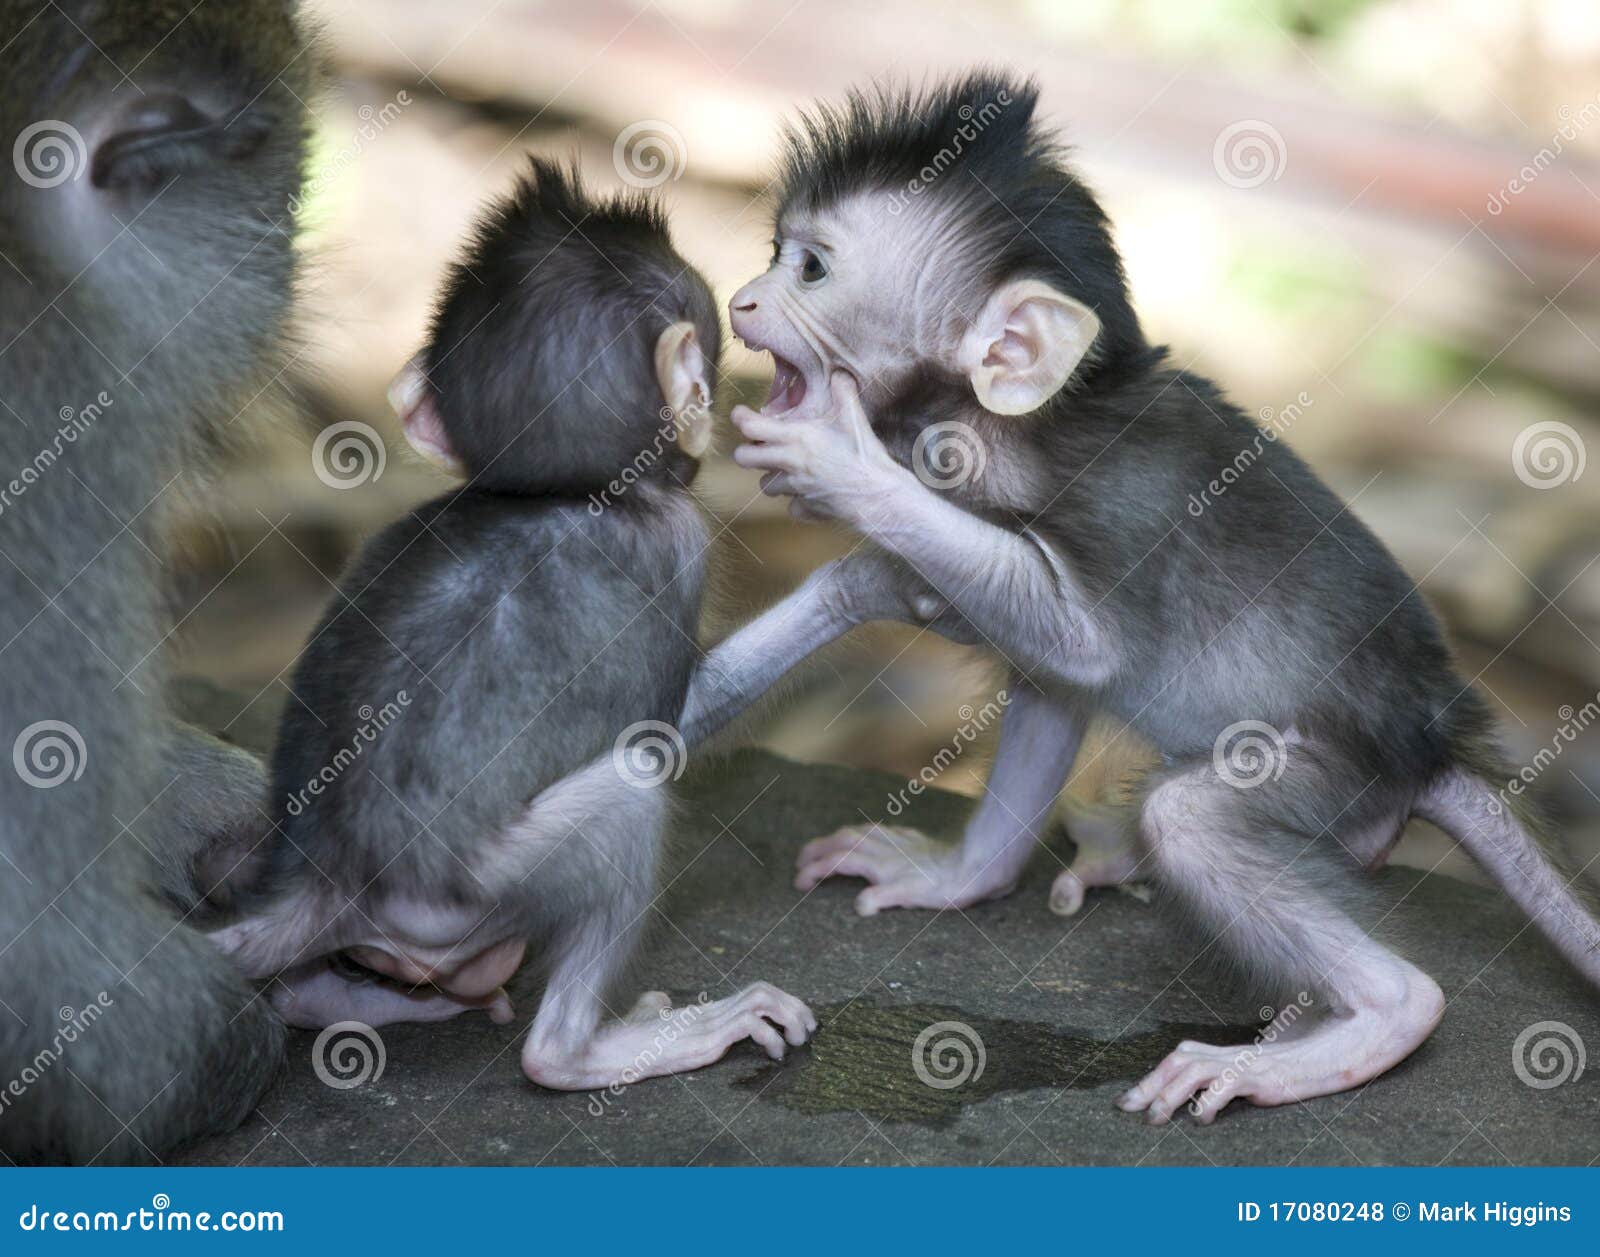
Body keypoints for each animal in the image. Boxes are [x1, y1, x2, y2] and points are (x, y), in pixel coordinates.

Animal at [209, 159, 817, 1088]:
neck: (562, 489)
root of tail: (326, 876)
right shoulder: (675, 543)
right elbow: (672, 721)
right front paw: (873, 576)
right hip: (471, 895)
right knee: (629, 793)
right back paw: (587, 1049)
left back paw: (333, 997)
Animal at [684, 70, 1600, 1122]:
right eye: (777, 253)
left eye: (812, 268)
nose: (746, 295)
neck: (1012, 427)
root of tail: (1430, 737)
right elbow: (1052, 683)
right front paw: (958, 872)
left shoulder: (1121, 509)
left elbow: (1085, 647)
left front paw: (849, 478)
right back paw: (1106, 861)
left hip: (1337, 770)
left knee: (1197, 823)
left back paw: (1356, 1024)